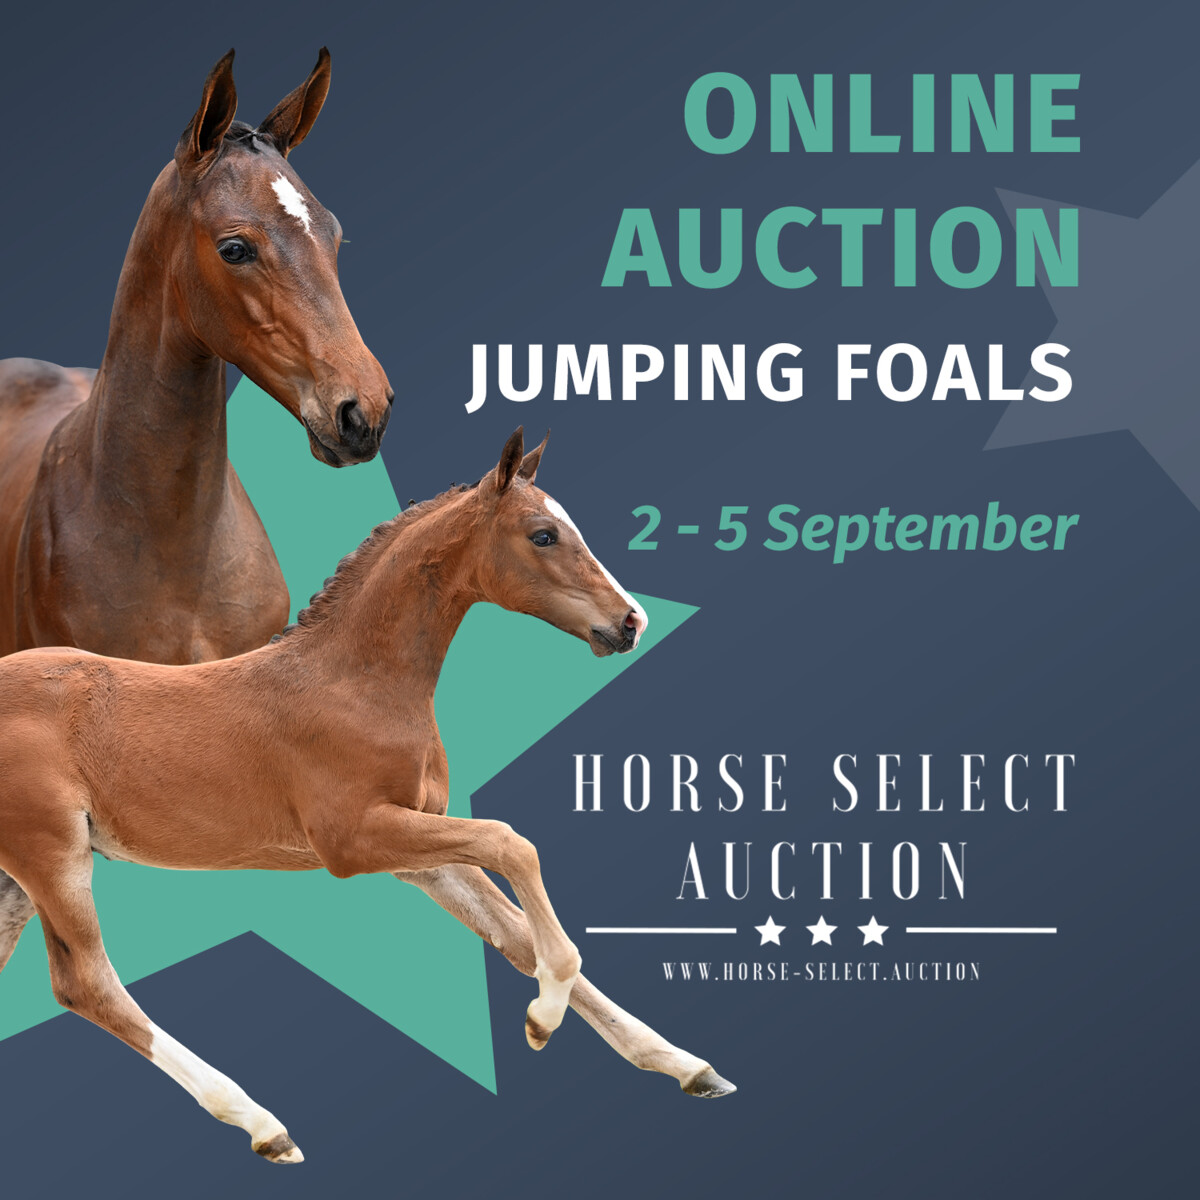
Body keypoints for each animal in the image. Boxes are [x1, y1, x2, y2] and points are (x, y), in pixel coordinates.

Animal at [0, 428, 735, 1164]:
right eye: (544, 534)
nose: (630, 621)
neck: (356, 681)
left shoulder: (420, 853)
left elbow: (517, 936)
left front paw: (685, 1064)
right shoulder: (354, 839)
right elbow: (513, 846)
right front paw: (540, 1020)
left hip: (17, 881)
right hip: (53, 855)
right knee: (88, 984)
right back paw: (261, 1123)